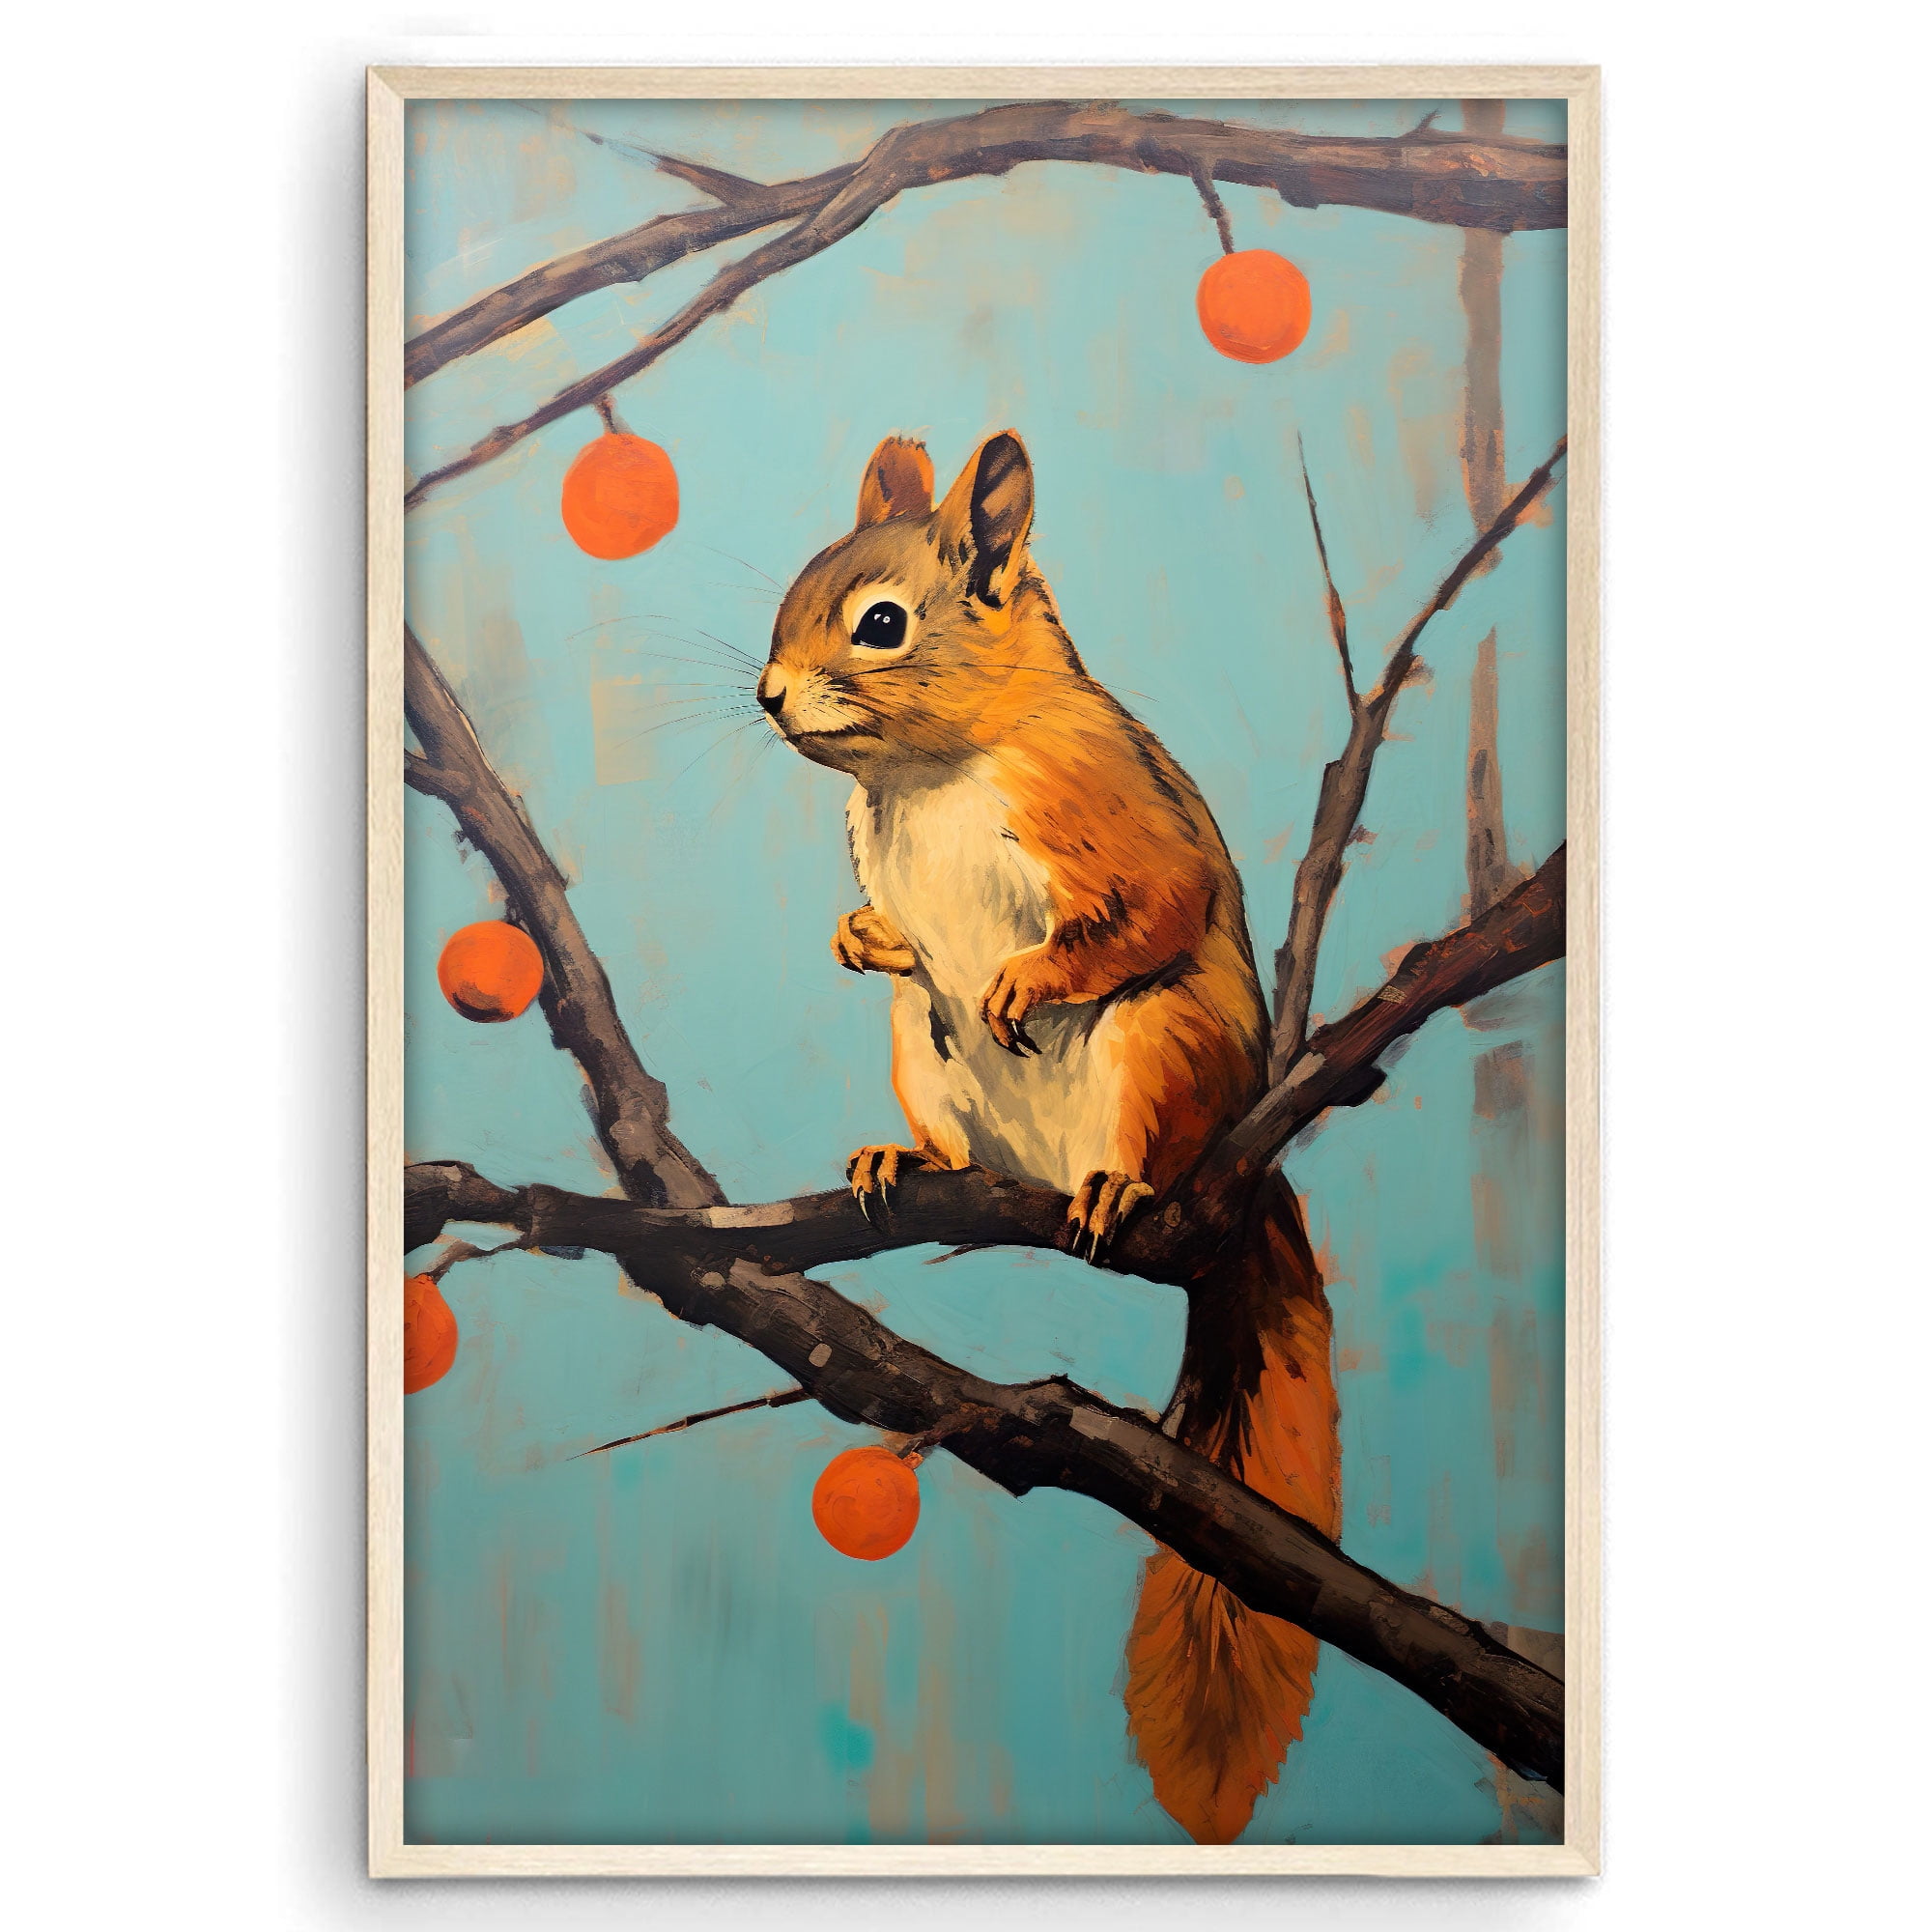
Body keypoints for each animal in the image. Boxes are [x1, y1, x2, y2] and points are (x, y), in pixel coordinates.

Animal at [758, 431, 1340, 1846]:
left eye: (881, 623)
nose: (767, 694)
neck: (926, 771)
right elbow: (886, 935)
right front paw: (865, 935)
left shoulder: (1114, 814)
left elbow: (1157, 901)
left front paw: (1027, 980)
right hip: (921, 1052)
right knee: (955, 1124)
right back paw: (910, 1161)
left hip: (1159, 1047)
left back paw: (1118, 1187)